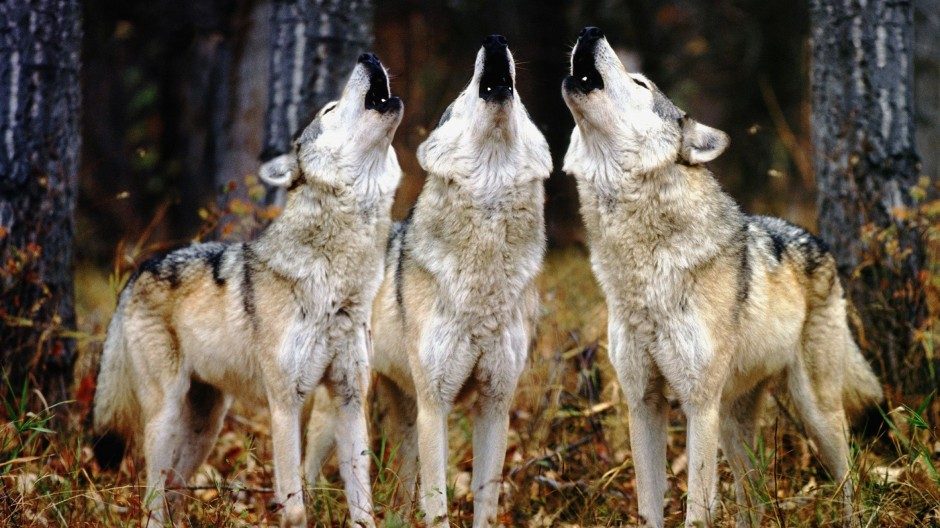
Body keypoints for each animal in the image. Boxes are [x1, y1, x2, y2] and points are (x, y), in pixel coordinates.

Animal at [92, 53, 403, 528]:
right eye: (329, 109)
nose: (368, 57)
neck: (337, 283)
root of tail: (139, 269)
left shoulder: (349, 399)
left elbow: (363, 504)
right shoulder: (285, 404)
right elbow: (295, 506)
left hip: (206, 425)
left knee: (175, 490)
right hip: (164, 417)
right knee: (153, 499)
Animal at [304, 35, 552, 527]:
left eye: (523, 103)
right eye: (462, 94)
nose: (495, 40)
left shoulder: (495, 404)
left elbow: (486, 502)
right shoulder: (436, 405)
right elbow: (437, 504)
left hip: (404, 411)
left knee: (401, 488)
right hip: (346, 406)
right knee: (307, 468)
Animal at [561, 27, 883, 527]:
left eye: (639, 83)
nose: (590, 32)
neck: (643, 268)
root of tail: (820, 241)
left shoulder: (699, 406)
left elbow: (697, 509)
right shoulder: (643, 403)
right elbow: (650, 507)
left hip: (814, 411)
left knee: (849, 479)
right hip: (734, 426)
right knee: (755, 501)